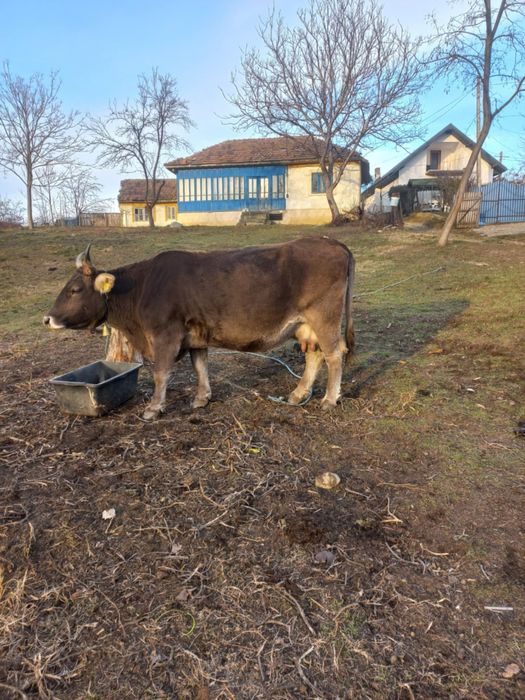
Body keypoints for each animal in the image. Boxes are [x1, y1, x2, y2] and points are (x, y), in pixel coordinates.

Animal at [44, 237, 355, 420]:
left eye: (74, 289)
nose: (47, 318)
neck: (142, 288)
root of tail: (330, 242)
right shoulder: (196, 335)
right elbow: (200, 365)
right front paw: (202, 398)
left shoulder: (165, 335)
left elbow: (161, 373)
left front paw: (154, 408)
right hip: (305, 325)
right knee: (315, 355)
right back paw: (298, 393)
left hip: (324, 317)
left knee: (334, 354)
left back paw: (330, 399)